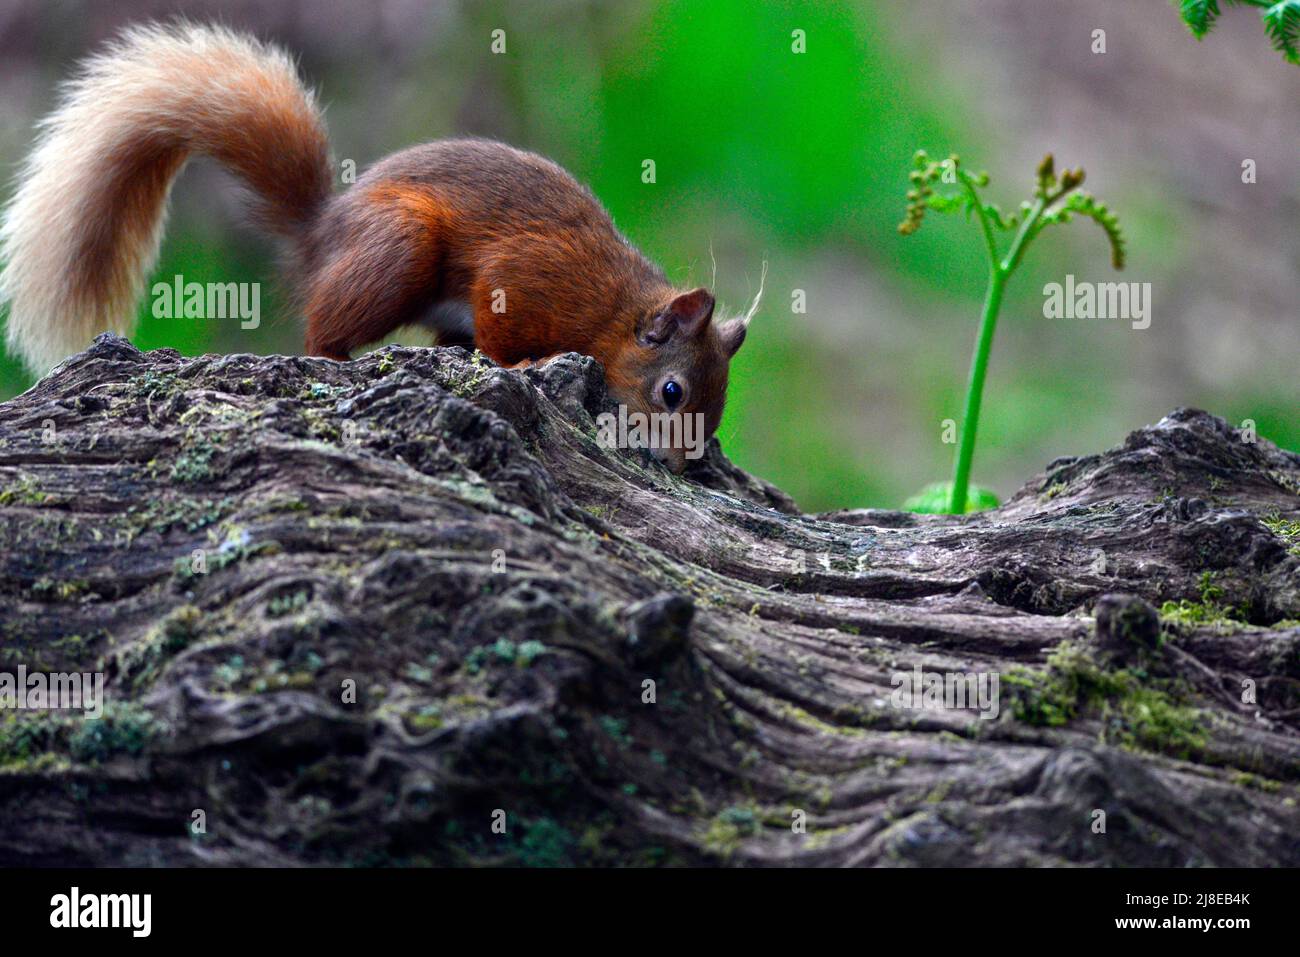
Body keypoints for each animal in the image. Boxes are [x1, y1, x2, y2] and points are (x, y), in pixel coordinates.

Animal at [0, 23, 758, 472]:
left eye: (718, 402)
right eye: (671, 392)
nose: (685, 463)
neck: (615, 310)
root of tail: (322, 232)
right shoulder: (527, 275)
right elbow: (502, 328)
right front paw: (526, 361)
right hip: (402, 247)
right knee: (321, 334)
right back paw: (343, 356)